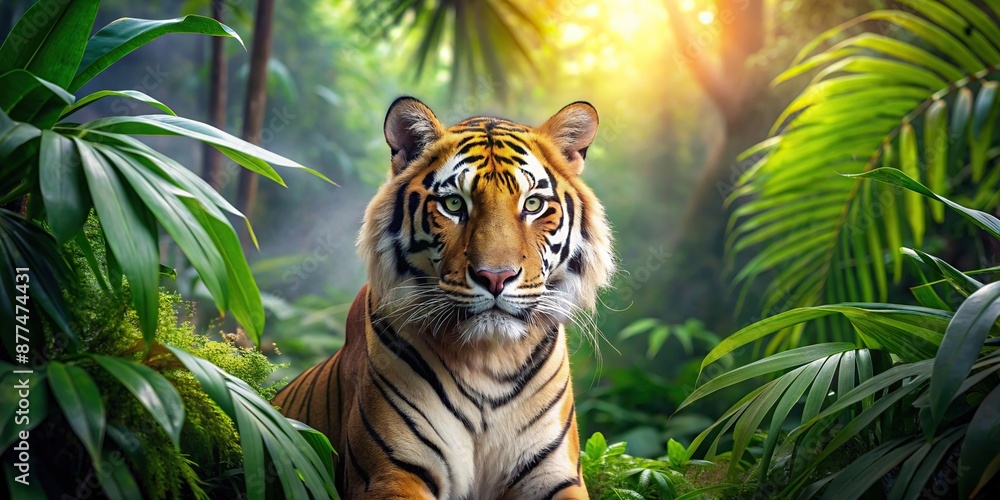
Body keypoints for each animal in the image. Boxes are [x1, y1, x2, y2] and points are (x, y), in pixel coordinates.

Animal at [273, 96, 614, 499]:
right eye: (453, 204)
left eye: (532, 205)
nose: (495, 276)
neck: (490, 361)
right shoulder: (390, 471)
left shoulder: (555, 474)